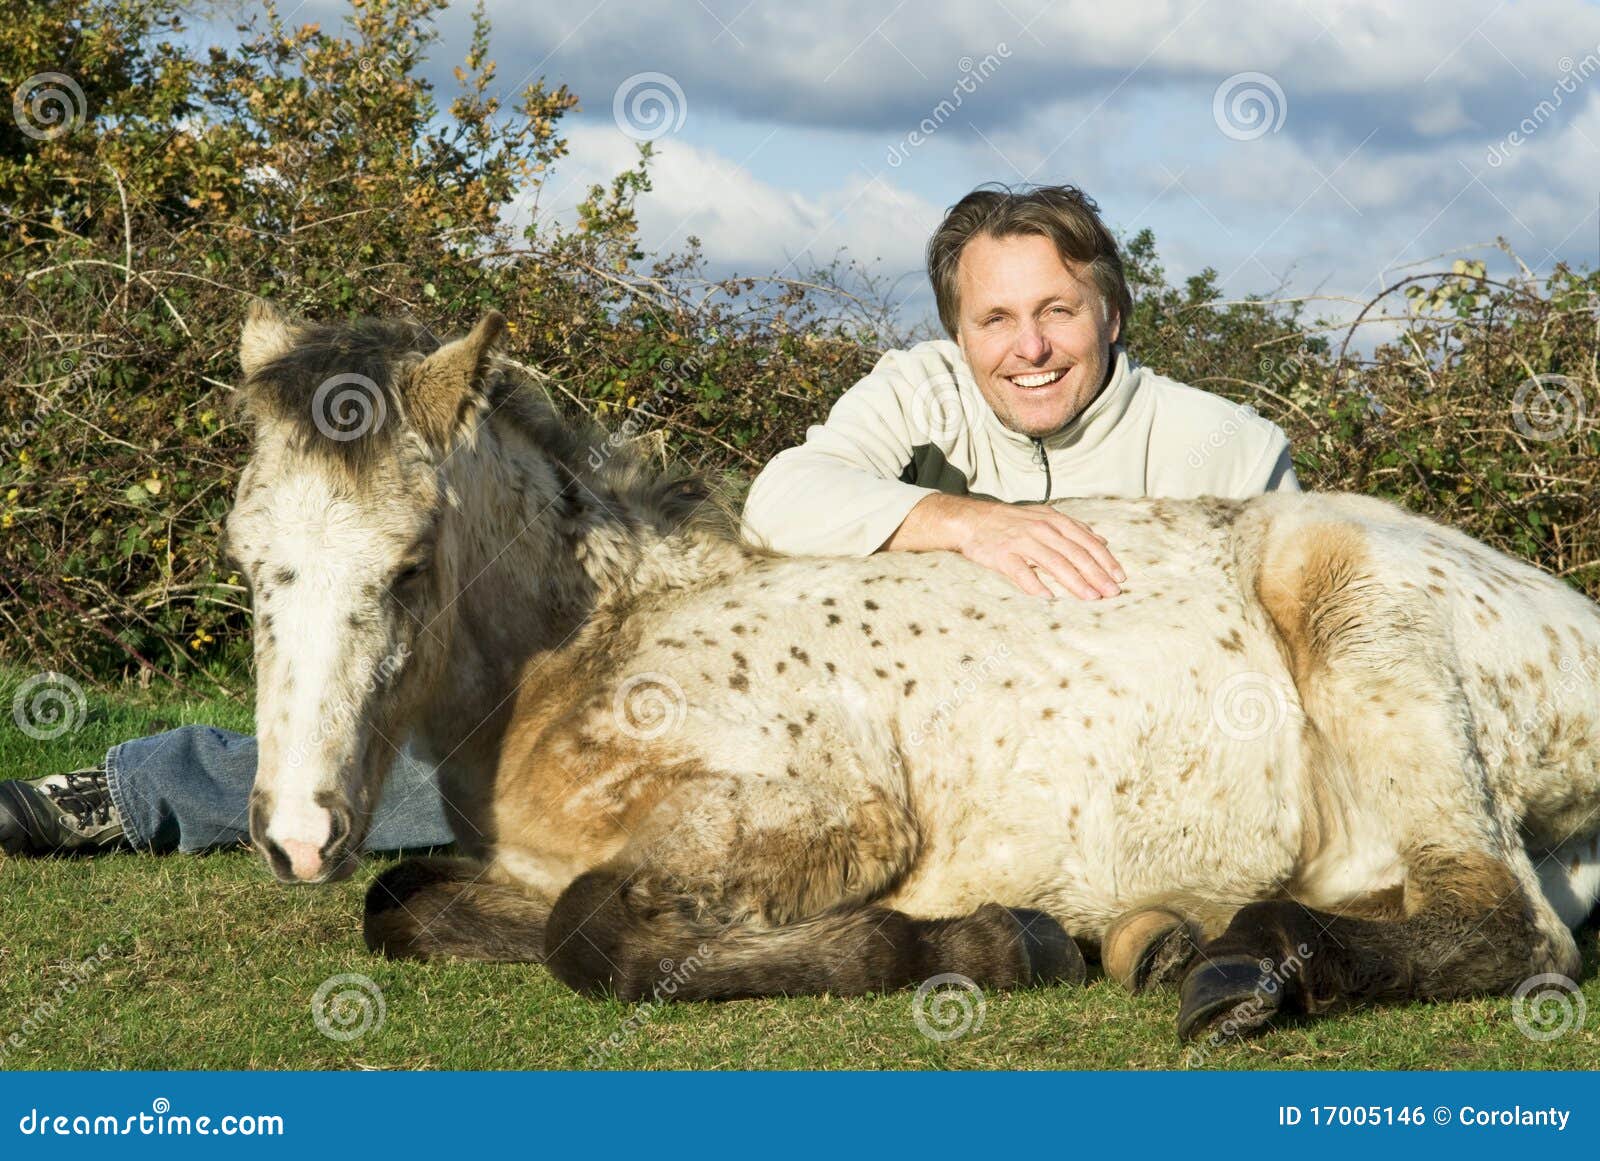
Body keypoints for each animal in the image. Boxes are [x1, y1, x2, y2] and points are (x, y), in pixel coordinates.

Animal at [223, 302, 1600, 1041]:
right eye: (248, 564)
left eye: (407, 565)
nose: (295, 835)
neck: (594, 650)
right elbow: (410, 908)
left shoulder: (819, 822)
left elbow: (594, 935)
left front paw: (990, 941)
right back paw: (1171, 938)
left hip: (1356, 612)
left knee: (1509, 929)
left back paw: (1242, 971)